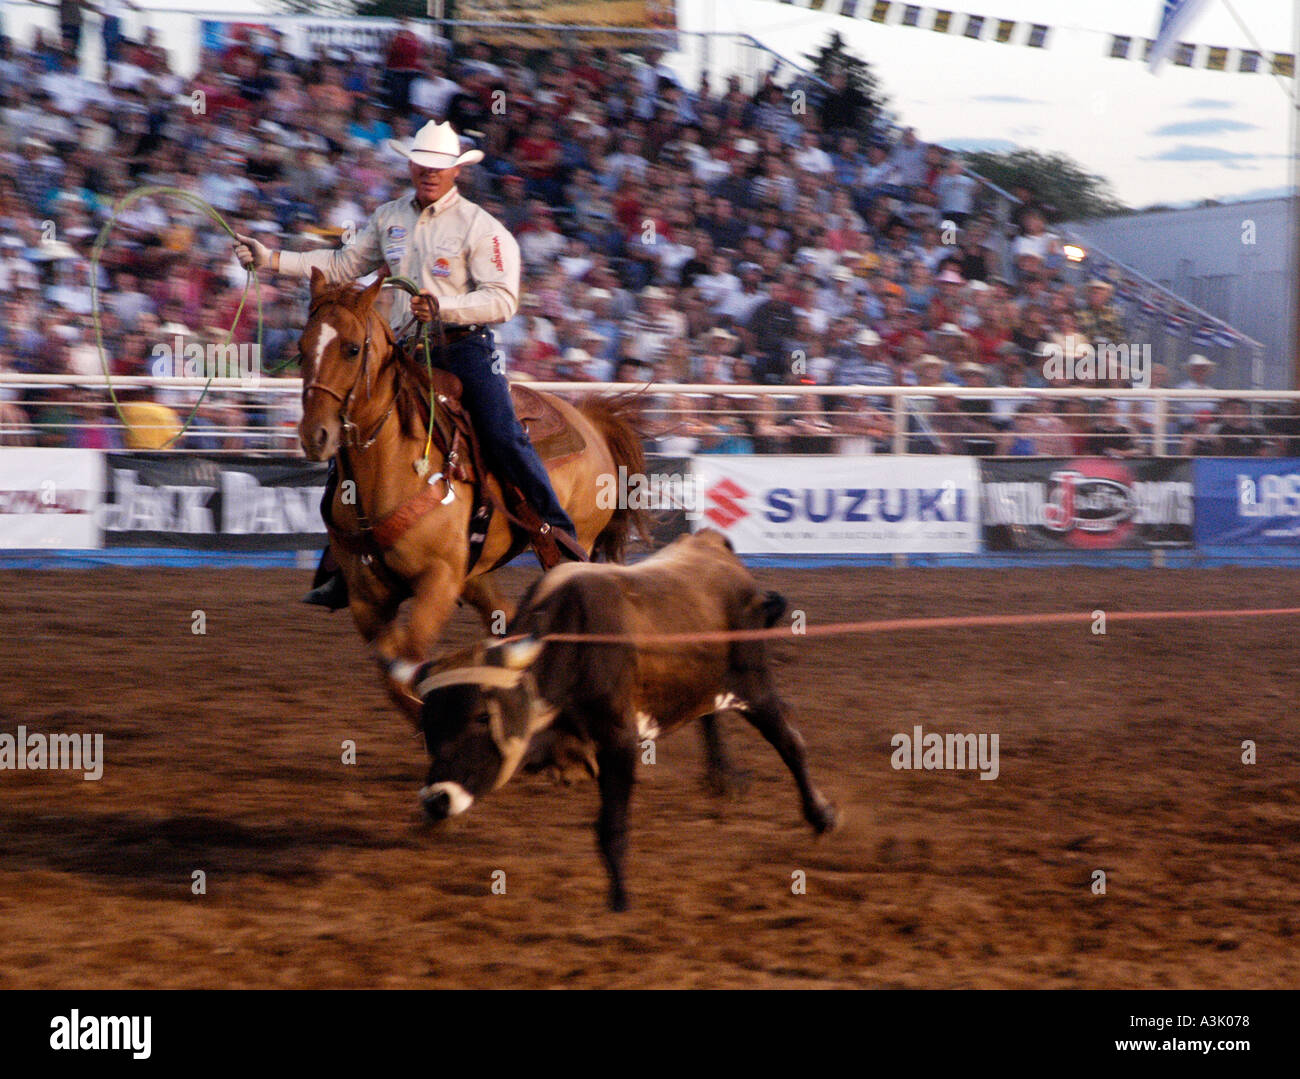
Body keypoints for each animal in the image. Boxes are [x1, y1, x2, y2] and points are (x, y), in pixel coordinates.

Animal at [296, 269, 647, 716]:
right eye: (301, 349)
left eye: (352, 348)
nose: (315, 435)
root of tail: (589, 417)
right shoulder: (367, 600)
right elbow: (397, 680)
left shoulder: (439, 581)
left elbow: (410, 663)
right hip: (476, 572)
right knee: (507, 619)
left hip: (571, 541)